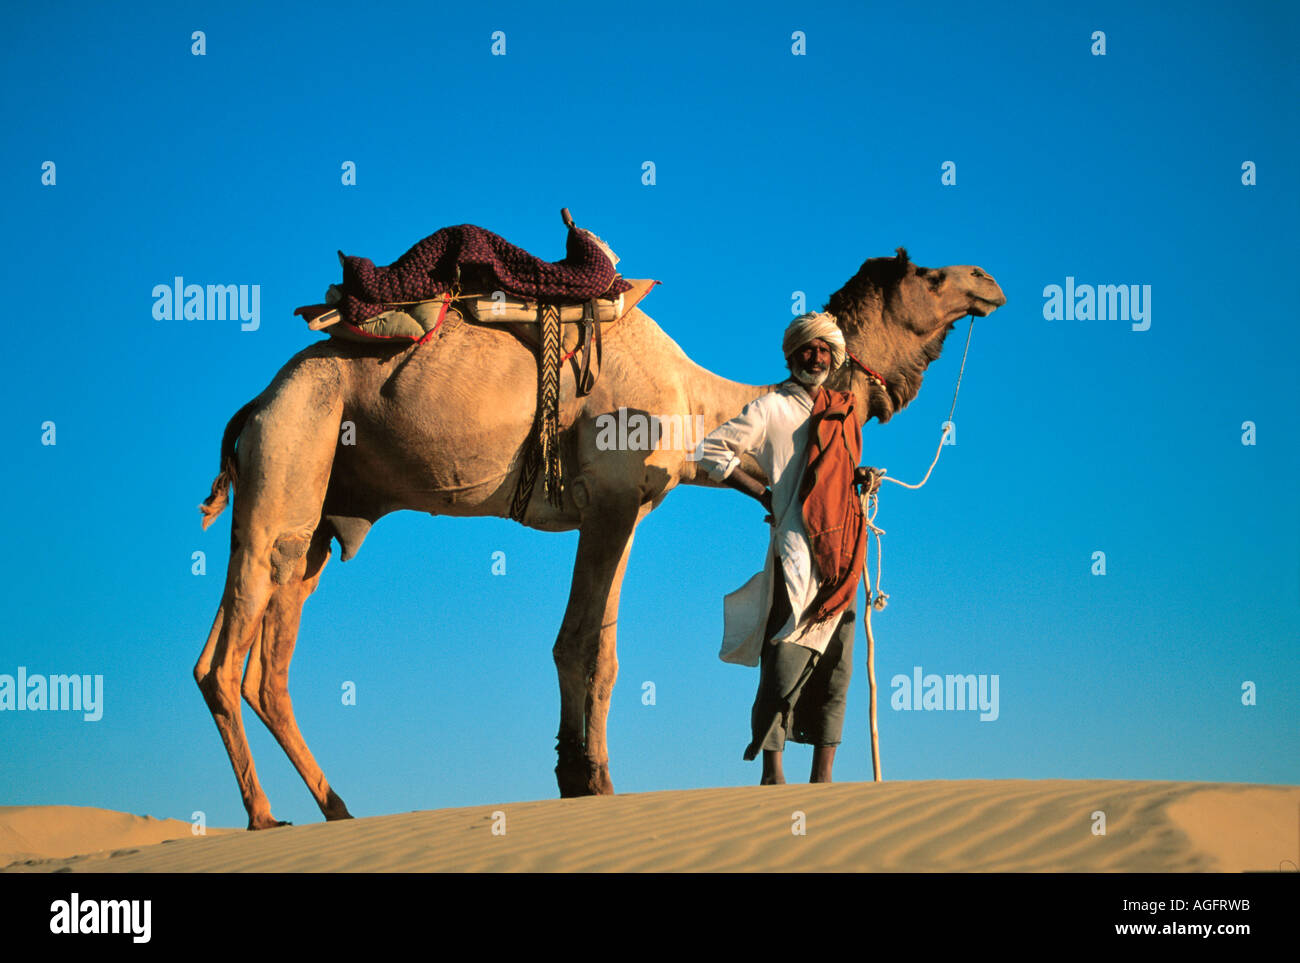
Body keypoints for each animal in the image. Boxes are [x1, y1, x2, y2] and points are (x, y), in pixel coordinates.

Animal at [194, 244, 1007, 829]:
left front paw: (571, 777)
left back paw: (331, 809)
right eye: (932, 276)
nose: (989, 282)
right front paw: (598, 780)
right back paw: (269, 817)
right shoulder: (616, 502)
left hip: (319, 501)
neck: (694, 400)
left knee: (257, 651)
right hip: (292, 453)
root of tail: (254, 405)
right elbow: (592, 649)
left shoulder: (613, 511)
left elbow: (581, 645)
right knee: (233, 653)